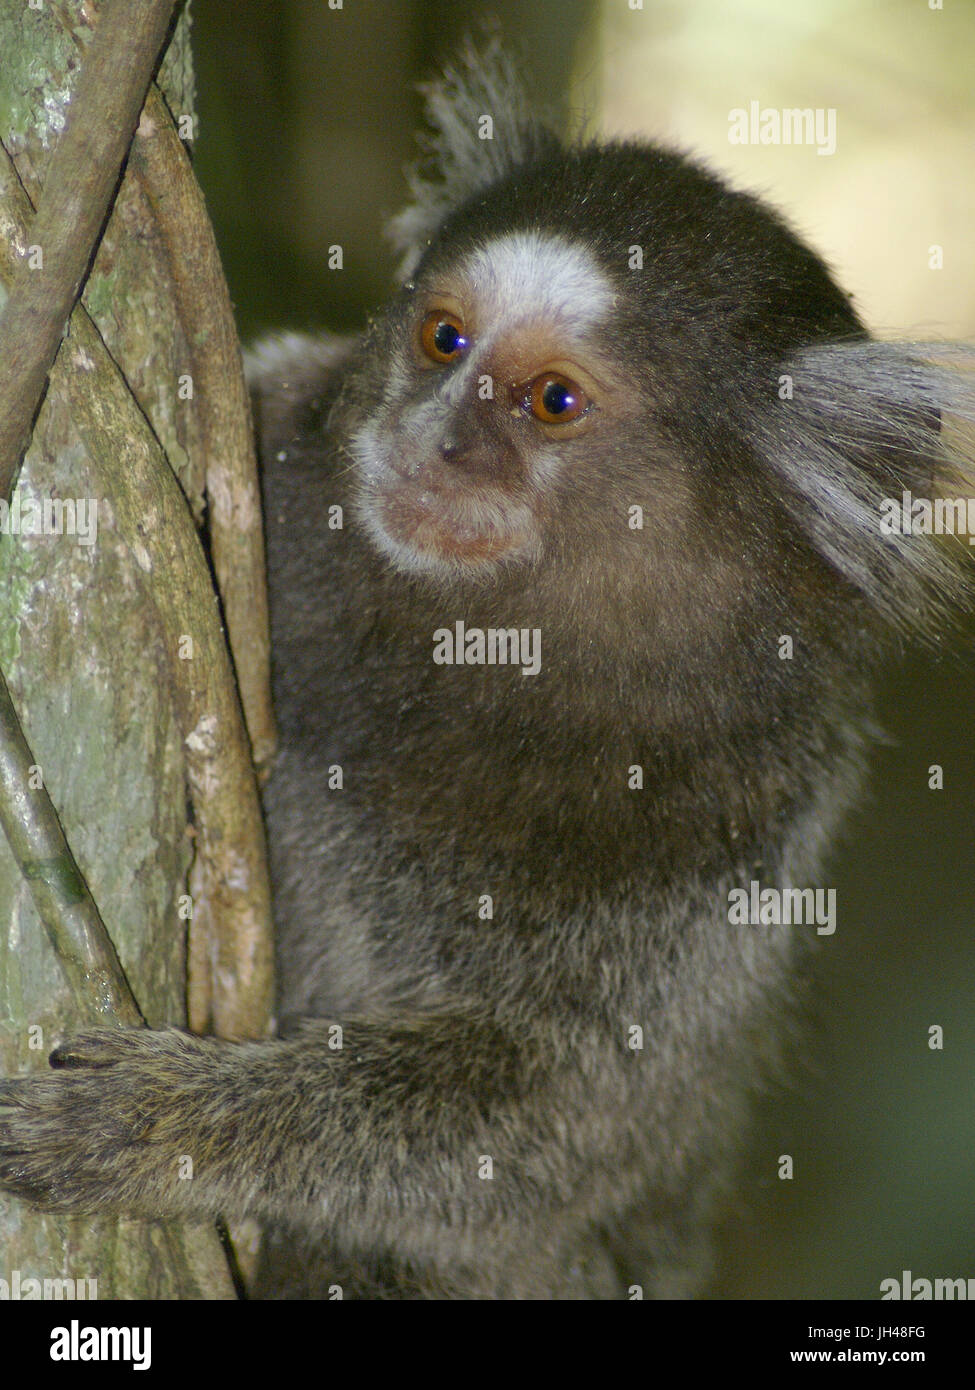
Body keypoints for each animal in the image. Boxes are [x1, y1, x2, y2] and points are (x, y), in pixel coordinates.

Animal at [0, 45, 973, 1300]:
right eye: (443, 341)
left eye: (552, 400)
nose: (435, 441)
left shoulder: (731, 847)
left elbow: (543, 1128)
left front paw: (163, 1121)